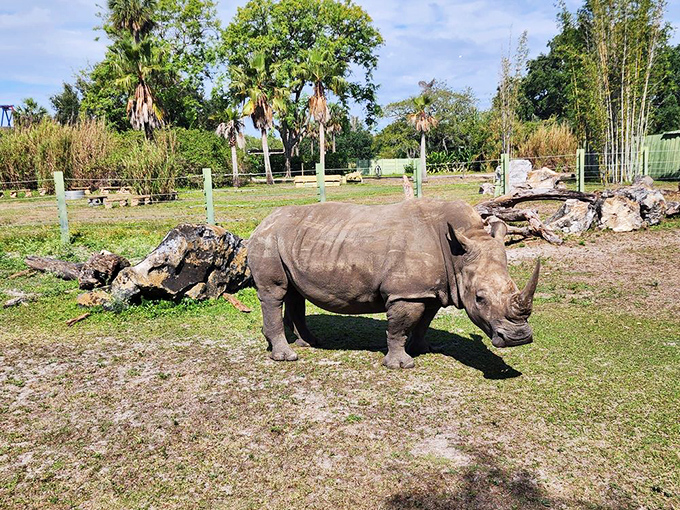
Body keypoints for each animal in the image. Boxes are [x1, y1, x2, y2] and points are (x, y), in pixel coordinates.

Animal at [247, 199, 540, 369]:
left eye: (514, 287)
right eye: (480, 298)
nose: (518, 339)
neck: (460, 248)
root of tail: (263, 221)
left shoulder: (431, 290)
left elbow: (423, 323)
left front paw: (424, 349)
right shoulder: (405, 293)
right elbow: (399, 326)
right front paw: (401, 365)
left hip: (292, 241)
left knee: (295, 293)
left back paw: (309, 343)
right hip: (267, 240)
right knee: (274, 293)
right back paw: (286, 356)